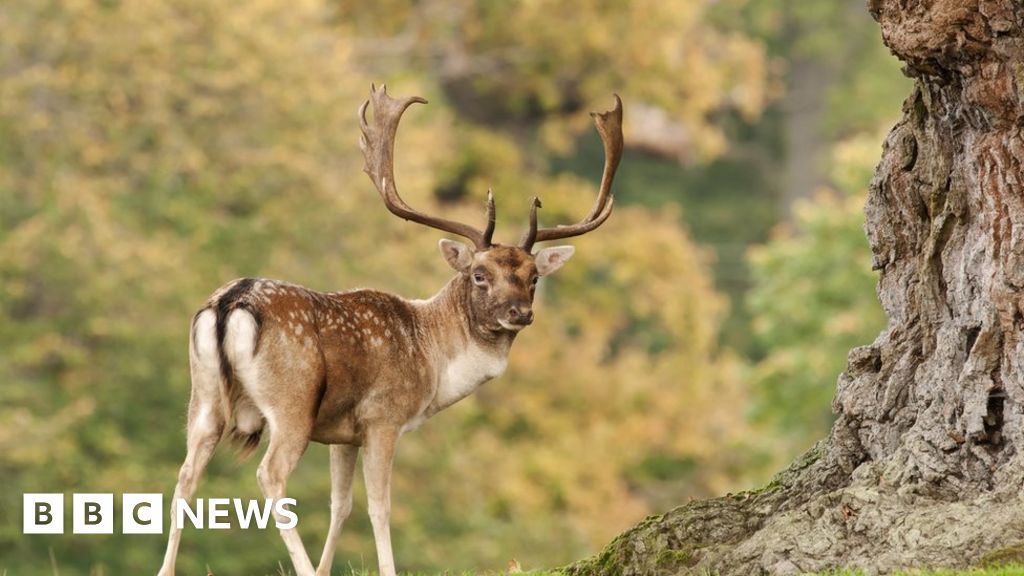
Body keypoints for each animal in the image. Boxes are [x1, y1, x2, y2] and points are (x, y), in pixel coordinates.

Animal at [157, 85, 622, 576]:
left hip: (203, 394)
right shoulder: (383, 416)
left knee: (185, 477)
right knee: (271, 474)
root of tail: (232, 302)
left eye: (533, 277)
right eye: (479, 274)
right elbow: (379, 505)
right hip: (292, 400)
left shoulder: (342, 433)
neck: (432, 358)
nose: (520, 313)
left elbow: (339, 505)